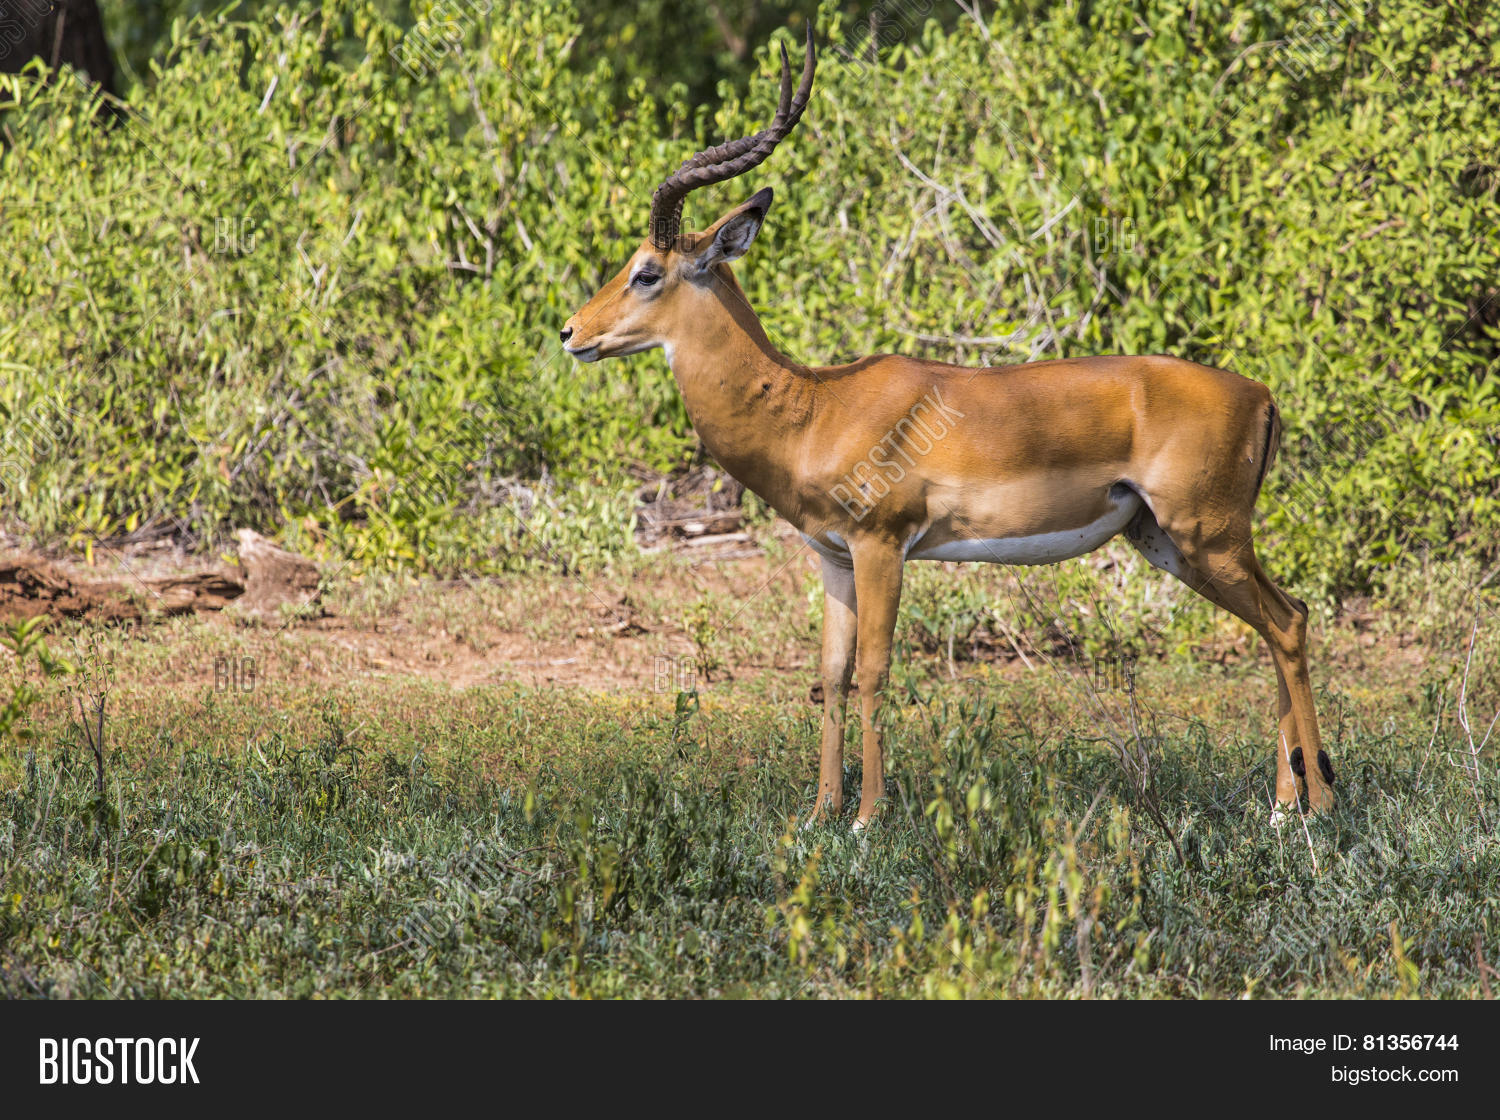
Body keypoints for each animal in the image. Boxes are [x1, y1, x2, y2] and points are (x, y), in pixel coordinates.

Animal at [561, 27, 1335, 829]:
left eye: (647, 271)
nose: (570, 333)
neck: (812, 408)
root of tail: (1261, 395)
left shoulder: (882, 545)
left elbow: (875, 671)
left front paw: (868, 817)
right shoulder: (832, 557)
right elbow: (831, 674)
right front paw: (820, 814)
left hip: (1207, 535)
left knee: (1287, 625)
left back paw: (1316, 807)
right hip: (1170, 542)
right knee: (1285, 619)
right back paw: (1285, 810)